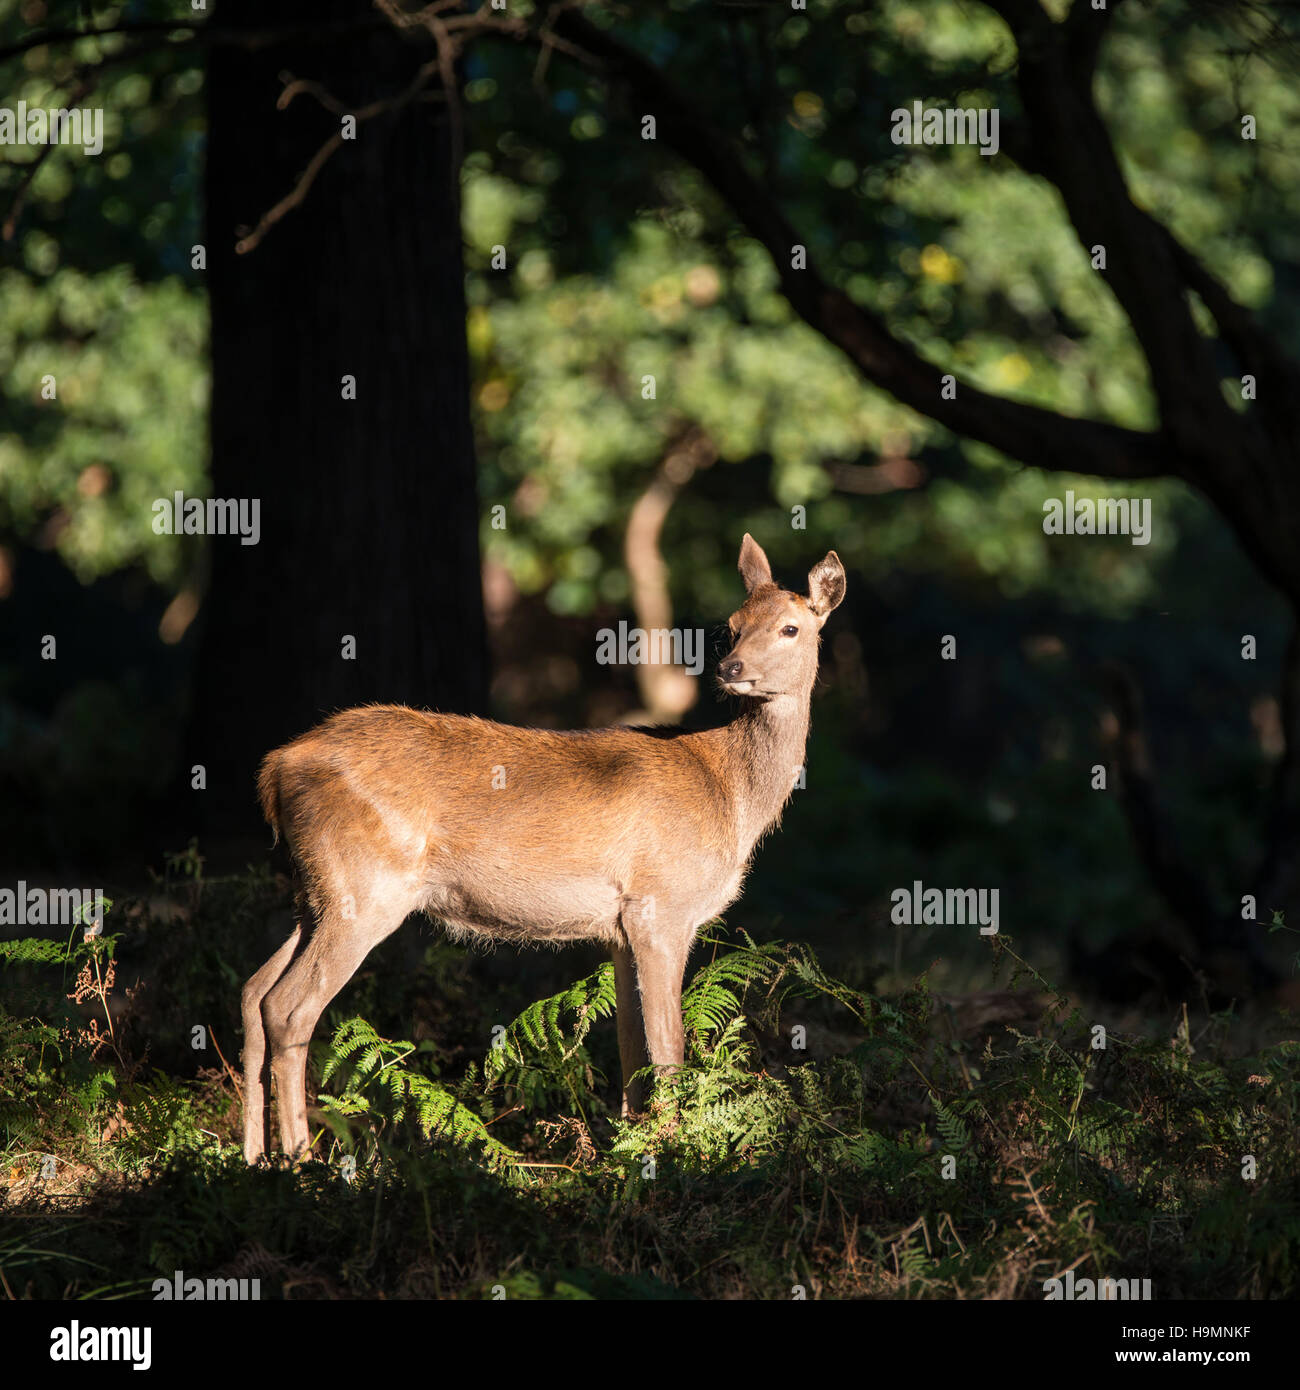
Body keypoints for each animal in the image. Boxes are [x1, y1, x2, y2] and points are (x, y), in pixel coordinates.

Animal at [241, 533, 846, 1162]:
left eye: (790, 627)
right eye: (732, 624)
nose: (731, 668)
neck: (731, 795)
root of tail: (277, 767)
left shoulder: (622, 926)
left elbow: (631, 1044)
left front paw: (628, 1146)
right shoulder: (662, 905)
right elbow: (668, 1047)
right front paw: (675, 1152)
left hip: (316, 891)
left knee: (254, 991)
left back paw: (254, 1156)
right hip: (366, 888)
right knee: (287, 1007)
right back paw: (301, 1157)